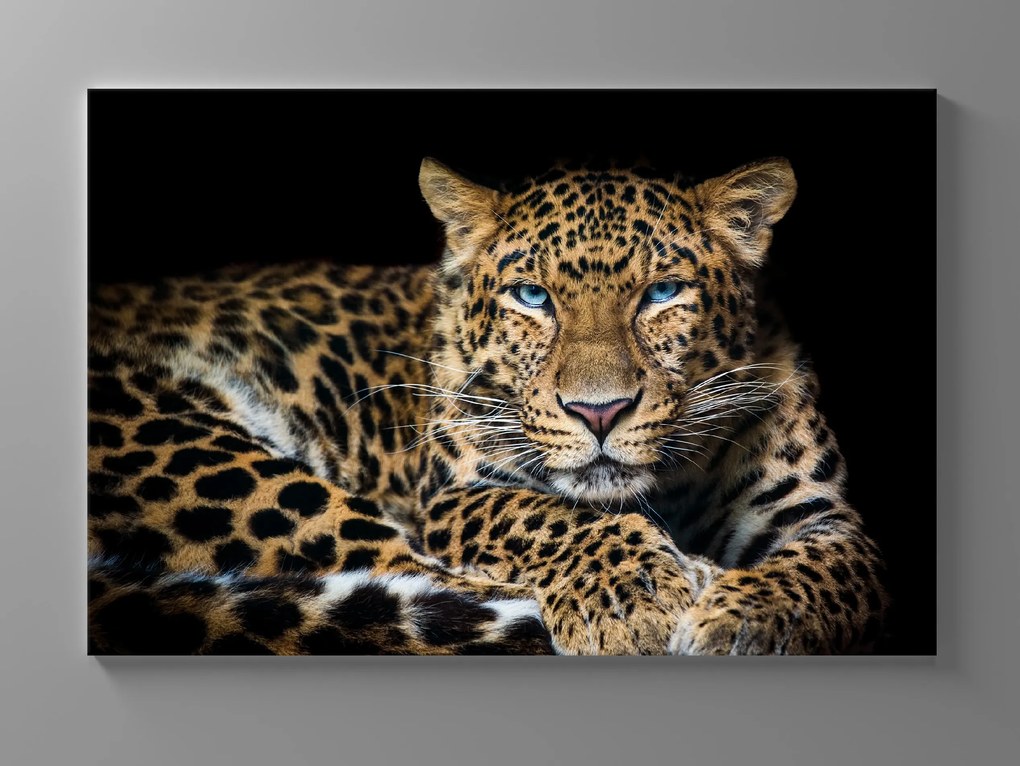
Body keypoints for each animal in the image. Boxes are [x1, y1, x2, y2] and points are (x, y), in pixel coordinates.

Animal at [87, 156, 888, 655]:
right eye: (532, 297)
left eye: (663, 293)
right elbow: (549, 516)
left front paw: (745, 623)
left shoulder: (819, 516)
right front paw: (636, 597)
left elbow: (836, 575)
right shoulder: (458, 495)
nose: (600, 413)